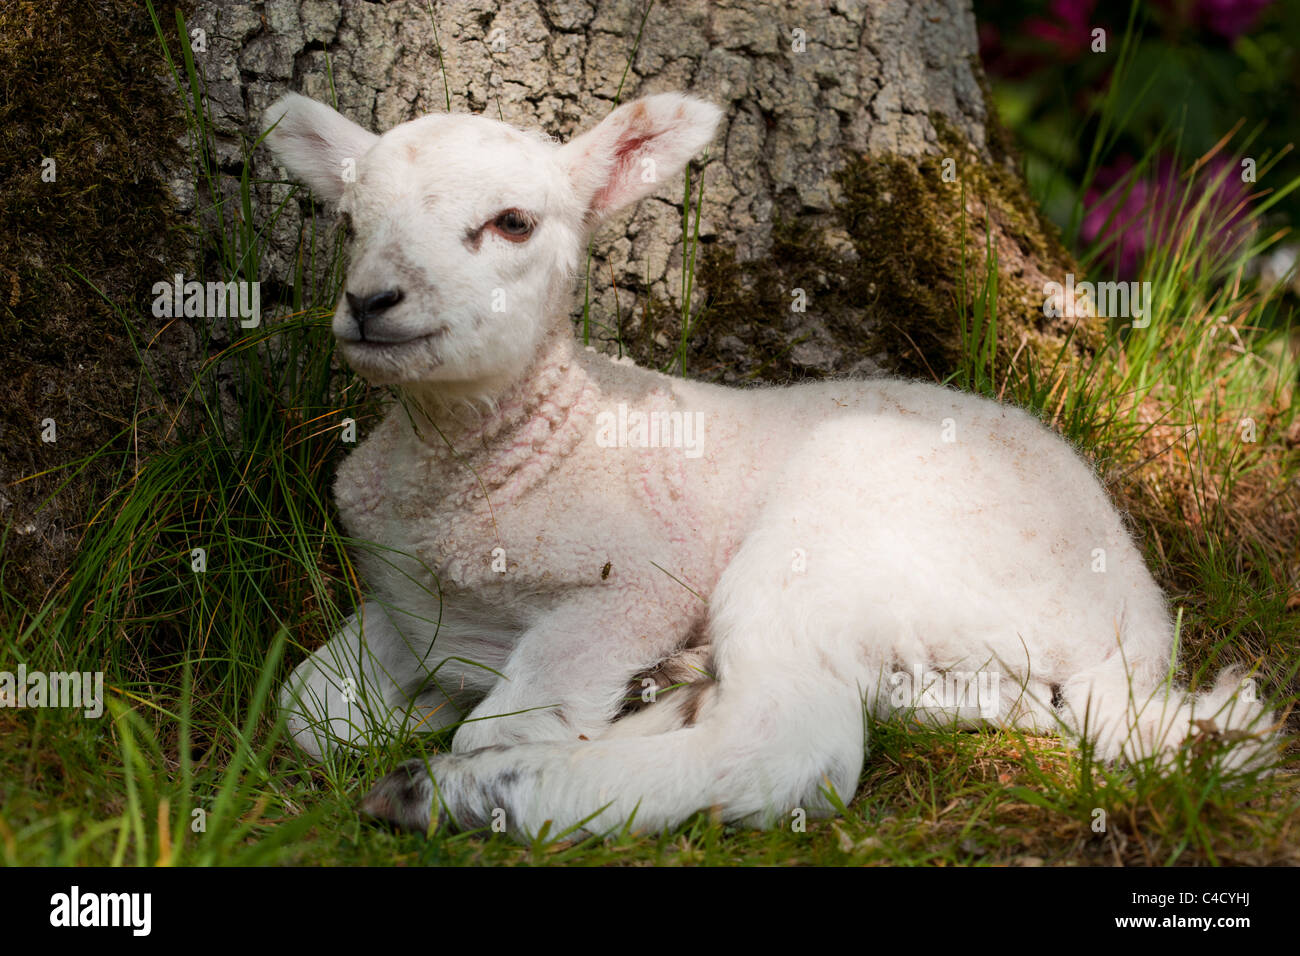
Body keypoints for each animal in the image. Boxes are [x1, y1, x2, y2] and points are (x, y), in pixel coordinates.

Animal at [262, 90, 1274, 840]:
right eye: (347, 222)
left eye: (513, 222)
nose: (371, 302)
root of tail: (1128, 628)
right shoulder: (405, 599)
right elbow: (311, 710)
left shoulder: (630, 584)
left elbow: (505, 714)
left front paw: (484, 744)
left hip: (837, 541)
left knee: (791, 754)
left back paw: (466, 793)